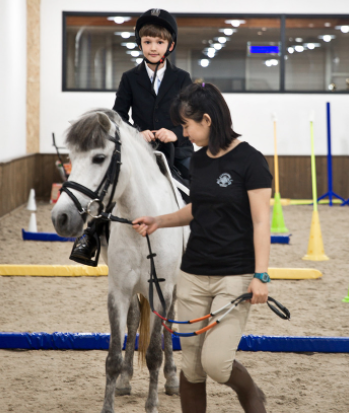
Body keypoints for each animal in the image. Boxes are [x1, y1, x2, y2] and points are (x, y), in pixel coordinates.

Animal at [51, 108, 185, 412]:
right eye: (72, 157)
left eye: (99, 158)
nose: (60, 218)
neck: (142, 224)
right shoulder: (118, 291)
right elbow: (112, 357)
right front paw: (113, 394)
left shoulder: (161, 290)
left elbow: (154, 353)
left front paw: (152, 404)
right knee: (134, 319)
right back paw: (126, 379)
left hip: (173, 285)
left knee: (170, 322)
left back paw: (172, 379)